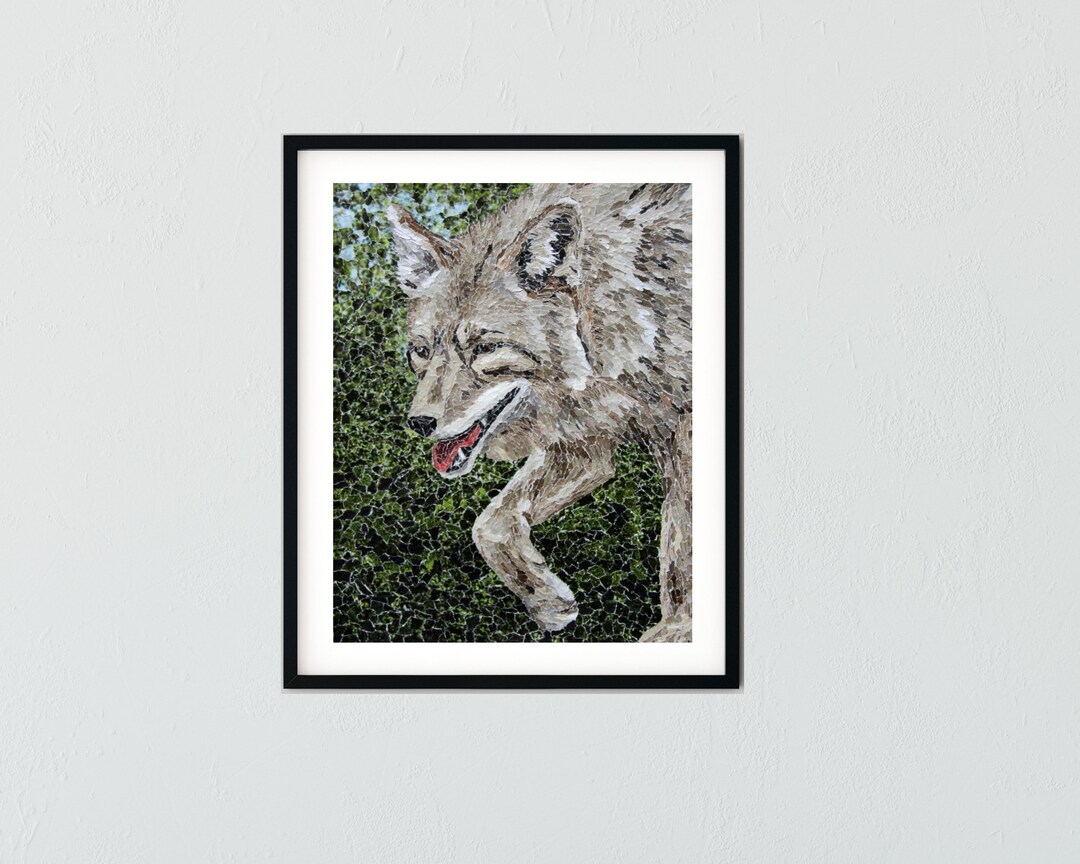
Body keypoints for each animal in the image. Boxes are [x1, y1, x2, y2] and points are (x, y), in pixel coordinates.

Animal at [387, 183, 691, 642]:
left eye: (485, 349)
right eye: (421, 351)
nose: (420, 423)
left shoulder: (684, 429)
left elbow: (680, 546)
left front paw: (676, 630)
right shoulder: (582, 444)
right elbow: (489, 525)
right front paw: (549, 603)